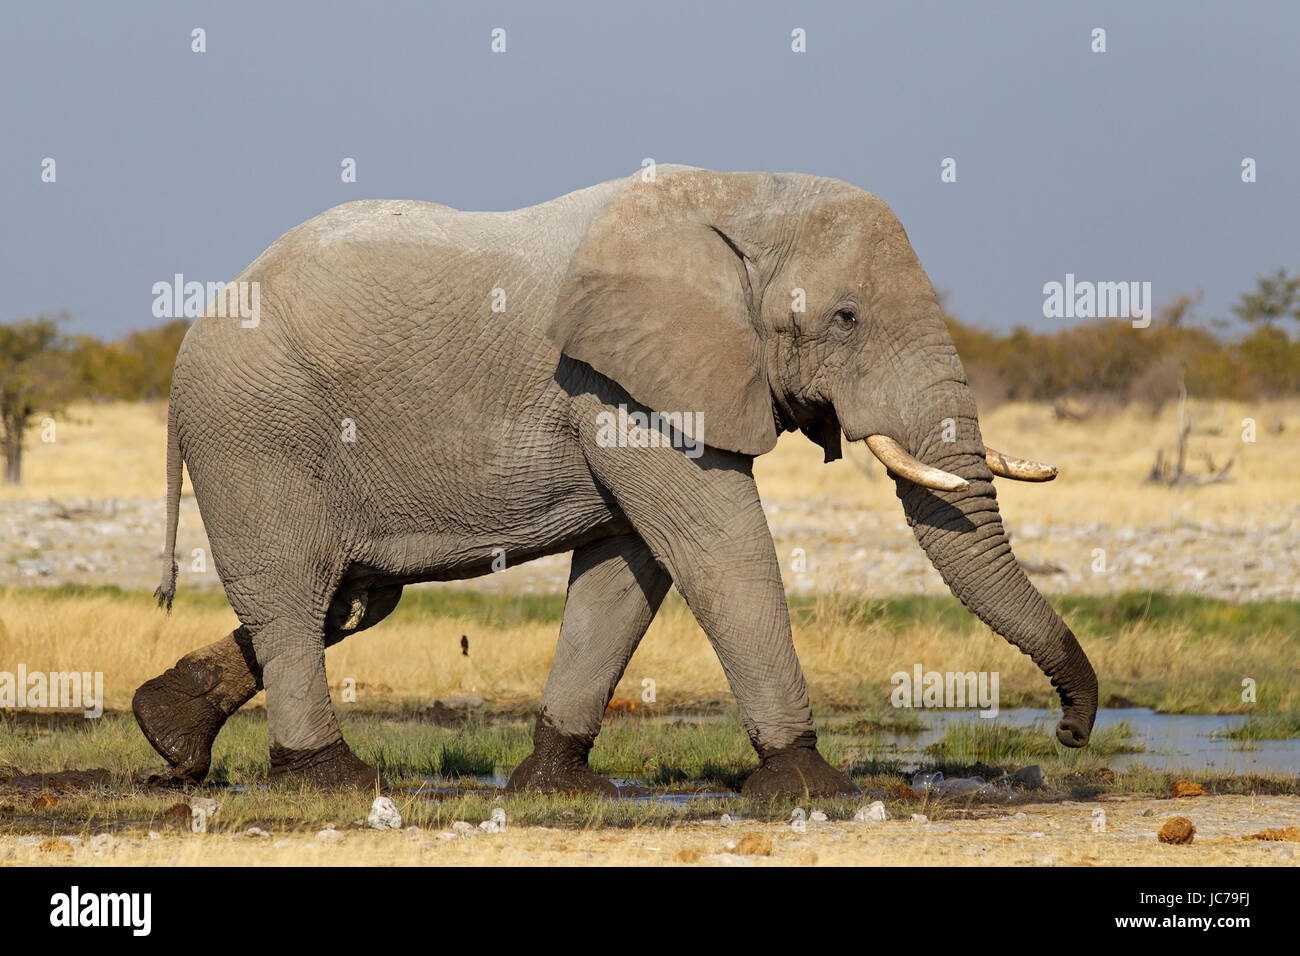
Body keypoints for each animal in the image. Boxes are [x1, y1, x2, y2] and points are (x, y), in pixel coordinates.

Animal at [133, 166, 1098, 798]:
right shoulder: (622, 387)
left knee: (344, 600)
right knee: (296, 597)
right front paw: (812, 787)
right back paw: (329, 782)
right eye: (847, 318)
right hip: (255, 431)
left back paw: (166, 737)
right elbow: (716, 548)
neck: (741, 195)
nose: (1071, 730)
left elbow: (630, 570)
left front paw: (556, 788)